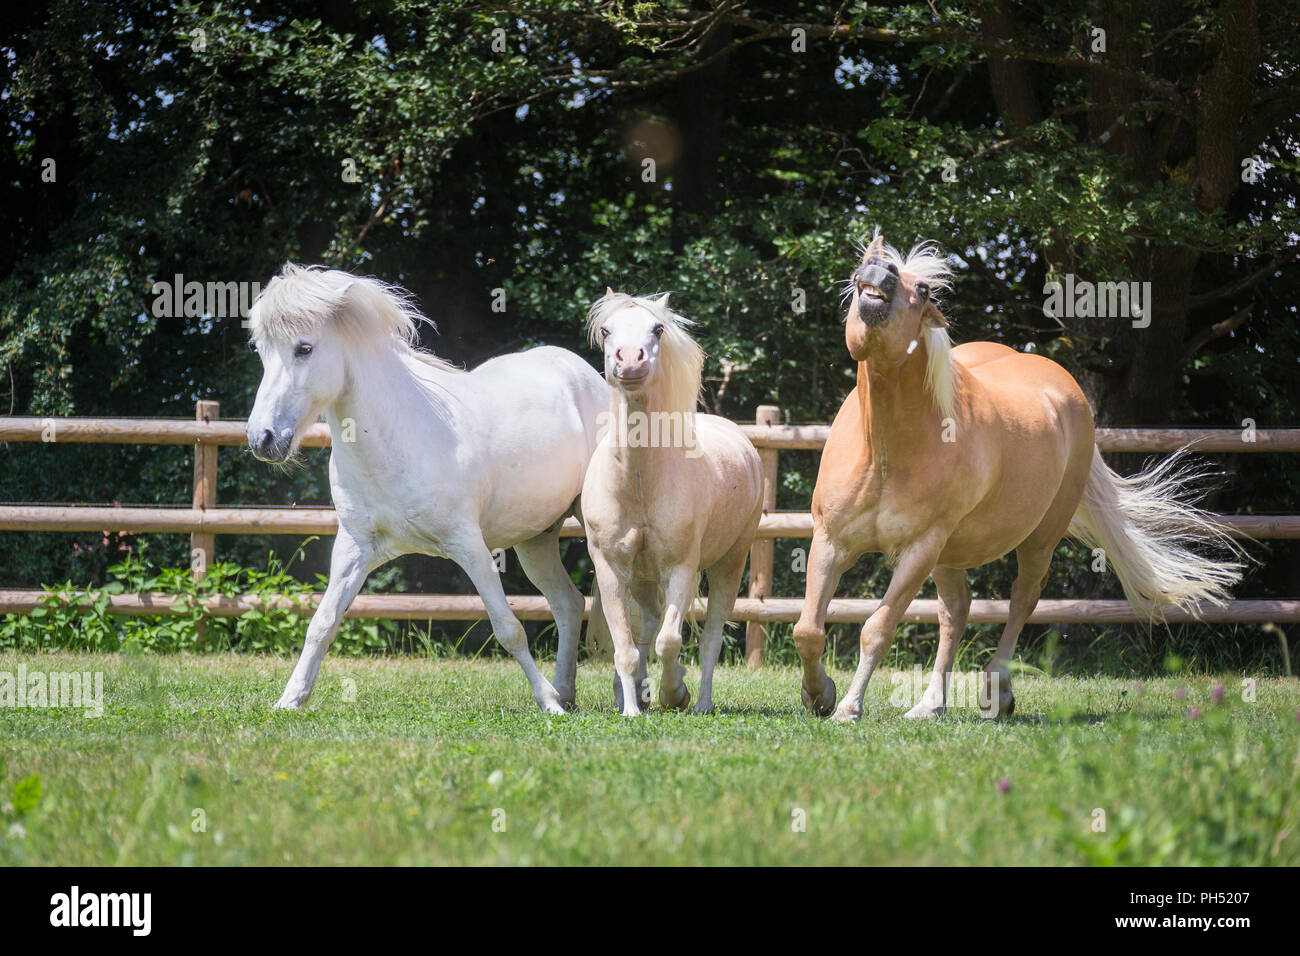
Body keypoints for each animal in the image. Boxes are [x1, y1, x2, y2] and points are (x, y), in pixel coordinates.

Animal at [244, 264, 609, 713]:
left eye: (305, 348)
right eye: (262, 351)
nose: (262, 439)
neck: (398, 436)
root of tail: (583, 373)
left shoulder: (470, 546)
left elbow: (508, 629)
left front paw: (547, 705)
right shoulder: (354, 547)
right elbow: (322, 623)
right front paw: (290, 700)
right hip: (536, 539)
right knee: (568, 604)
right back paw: (566, 691)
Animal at [580, 291, 763, 715]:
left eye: (658, 329)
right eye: (606, 330)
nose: (630, 360)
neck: (640, 483)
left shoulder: (680, 568)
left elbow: (670, 642)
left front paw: (674, 693)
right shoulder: (612, 570)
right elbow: (627, 648)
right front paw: (631, 708)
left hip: (730, 563)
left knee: (710, 635)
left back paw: (701, 703)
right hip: (642, 578)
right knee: (647, 624)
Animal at [793, 234, 1244, 723]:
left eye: (925, 290)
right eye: (865, 263)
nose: (880, 271)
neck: (885, 451)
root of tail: (1060, 384)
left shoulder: (919, 550)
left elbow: (876, 629)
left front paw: (848, 707)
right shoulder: (832, 540)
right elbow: (808, 629)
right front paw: (819, 695)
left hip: (1036, 538)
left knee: (1023, 598)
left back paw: (998, 691)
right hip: (951, 553)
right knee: (956, 611)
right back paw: (930, 704)